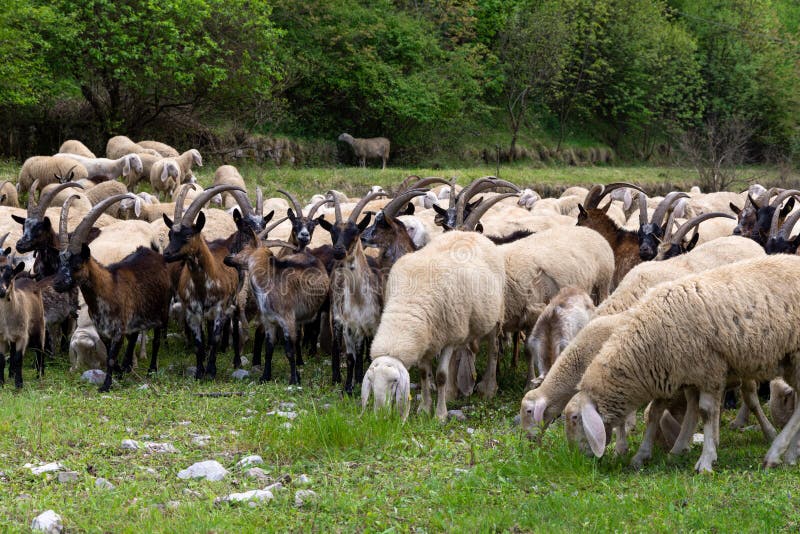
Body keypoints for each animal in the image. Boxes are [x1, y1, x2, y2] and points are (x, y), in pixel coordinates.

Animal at [53, 194, 173, 392]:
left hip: (161, 308)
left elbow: (110, 357)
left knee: (155, 337)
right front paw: (121, 371)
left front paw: (107, 384)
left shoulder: (118, 329)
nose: (56, 284)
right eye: (60, 262)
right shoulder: (103, 330)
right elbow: (111, 354)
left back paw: (151, 369)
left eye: (76, 264)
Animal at [363, 230, 505, 421]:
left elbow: (441, 376)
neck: (407, 307)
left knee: (493, 350)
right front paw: (424, 407)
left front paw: (440, 414)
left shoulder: (449, 339)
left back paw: (488, 388)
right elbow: (424, 374)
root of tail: (471, 232)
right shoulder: (425, 338)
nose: (381, 416)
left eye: (395, 381)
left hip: (496, 317)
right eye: (371, 381)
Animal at [564, 254, 800, 472]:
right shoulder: (677, 374)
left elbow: (705, 412)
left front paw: (705, 460)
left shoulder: (710, 370)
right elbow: (658, 414)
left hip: (795, 356)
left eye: (576, 418)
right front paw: (648, 454)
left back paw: (775, 453)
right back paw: (790, 455)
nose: (579, 459)